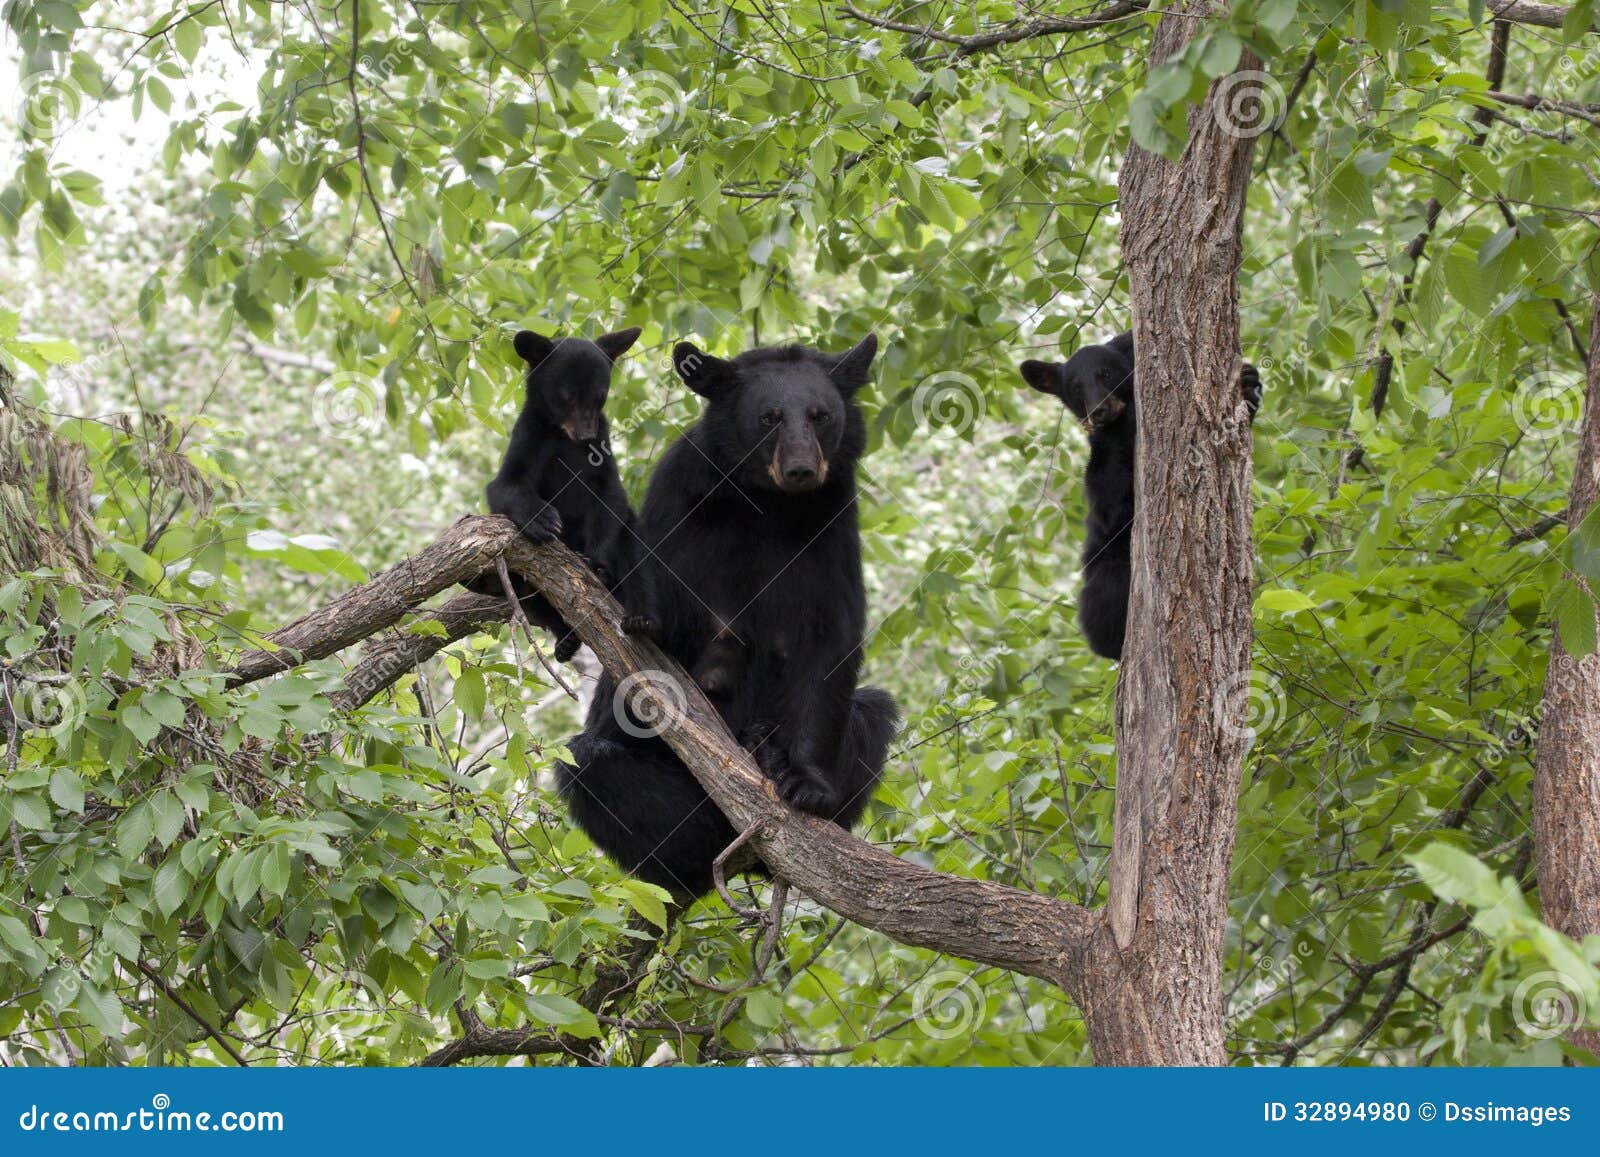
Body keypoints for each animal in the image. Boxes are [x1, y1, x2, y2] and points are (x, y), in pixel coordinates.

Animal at [468, 325, 642, 661]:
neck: (564, 438)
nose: (585, 434)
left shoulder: (602, 449)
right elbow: (505, 485)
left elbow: (610, 498)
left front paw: (598, 566)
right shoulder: (530, 435)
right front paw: (542, 520)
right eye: (567, 395)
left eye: (600, 395)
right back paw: (564, 639)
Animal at [557, 335, 900, 899]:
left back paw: (768, 755)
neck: (768, 501)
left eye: (821, 415)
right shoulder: (681, 501)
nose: (802, 470)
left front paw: (807, 785)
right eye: (768, 417)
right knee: (588, 763)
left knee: (872, 709)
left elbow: (830, 638)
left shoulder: (833, 521)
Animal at [1019, 330, 1262, 660]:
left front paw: (1249, 384)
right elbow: (1111, 504)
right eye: (1075, 387)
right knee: (1104, 597)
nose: (1100, 410)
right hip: (1106, 565)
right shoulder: (1102, 468)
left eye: (1106, 373)